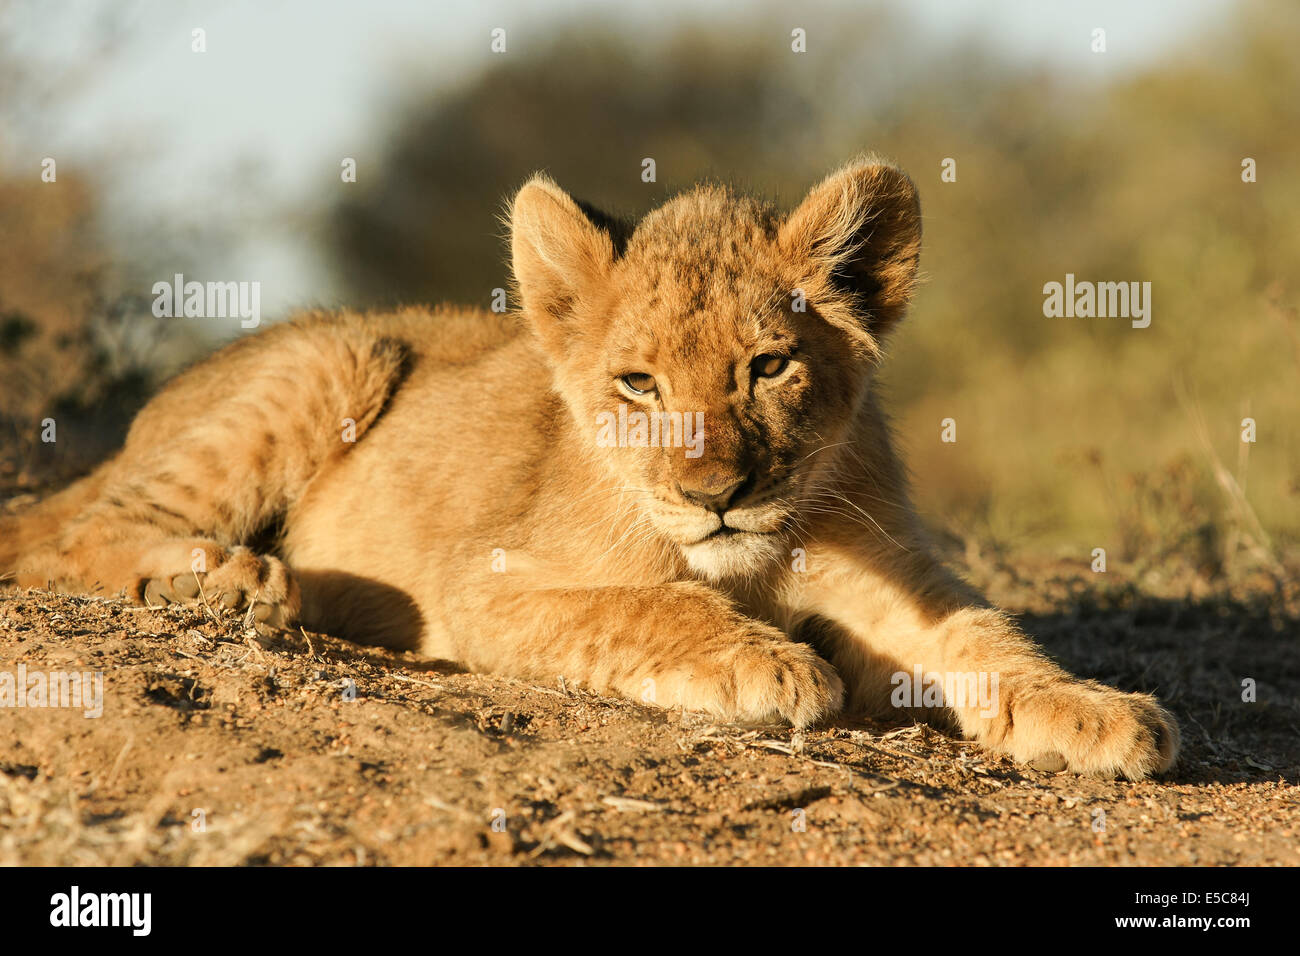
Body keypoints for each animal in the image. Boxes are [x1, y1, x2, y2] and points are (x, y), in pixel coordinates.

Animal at [1, 156, 1178, 779]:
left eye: (768, 366)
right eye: (638, 384)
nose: (716, 499)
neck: (759, 552)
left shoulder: (894, 583)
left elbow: (988, 640)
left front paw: (1101, 711)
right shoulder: (486, 588)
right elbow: (652, 603)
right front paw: (772, 665)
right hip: (342, 354)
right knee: (67, 532)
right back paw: (217, 581)